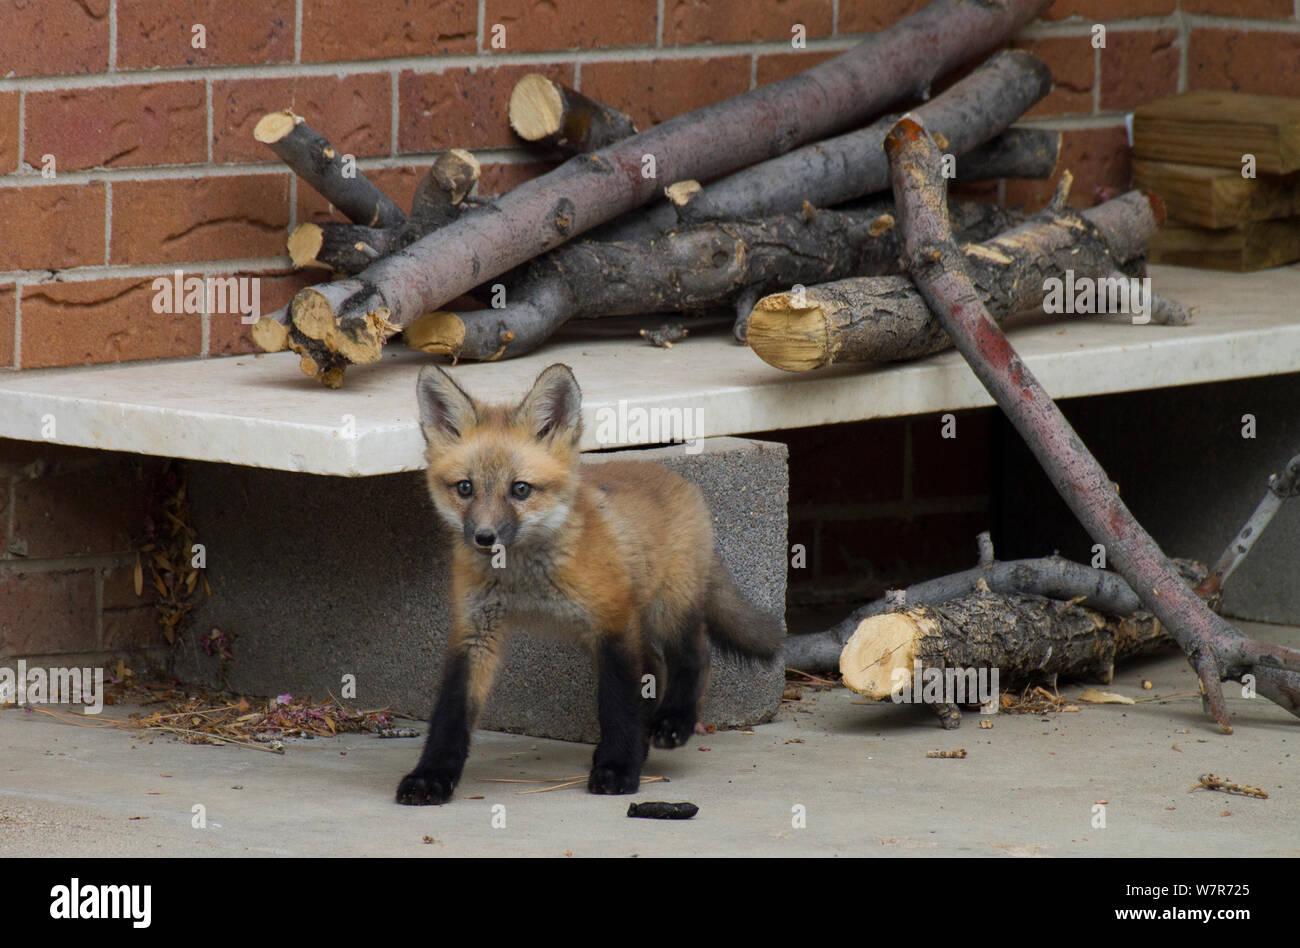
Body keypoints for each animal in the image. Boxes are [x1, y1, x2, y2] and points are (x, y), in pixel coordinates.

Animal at [396, 362, 784, 805]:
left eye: (520, 489)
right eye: (465, 487)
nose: (484, 537)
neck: (525, 582)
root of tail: (675, 479)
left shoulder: (613, 623)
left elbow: (617, 706)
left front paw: (617, 769)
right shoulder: (476, 632)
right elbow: (451, 714)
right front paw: (431, 776)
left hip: (664, 610)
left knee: (693, 657)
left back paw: (674, 722)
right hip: (594, 632)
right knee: (654, 667)